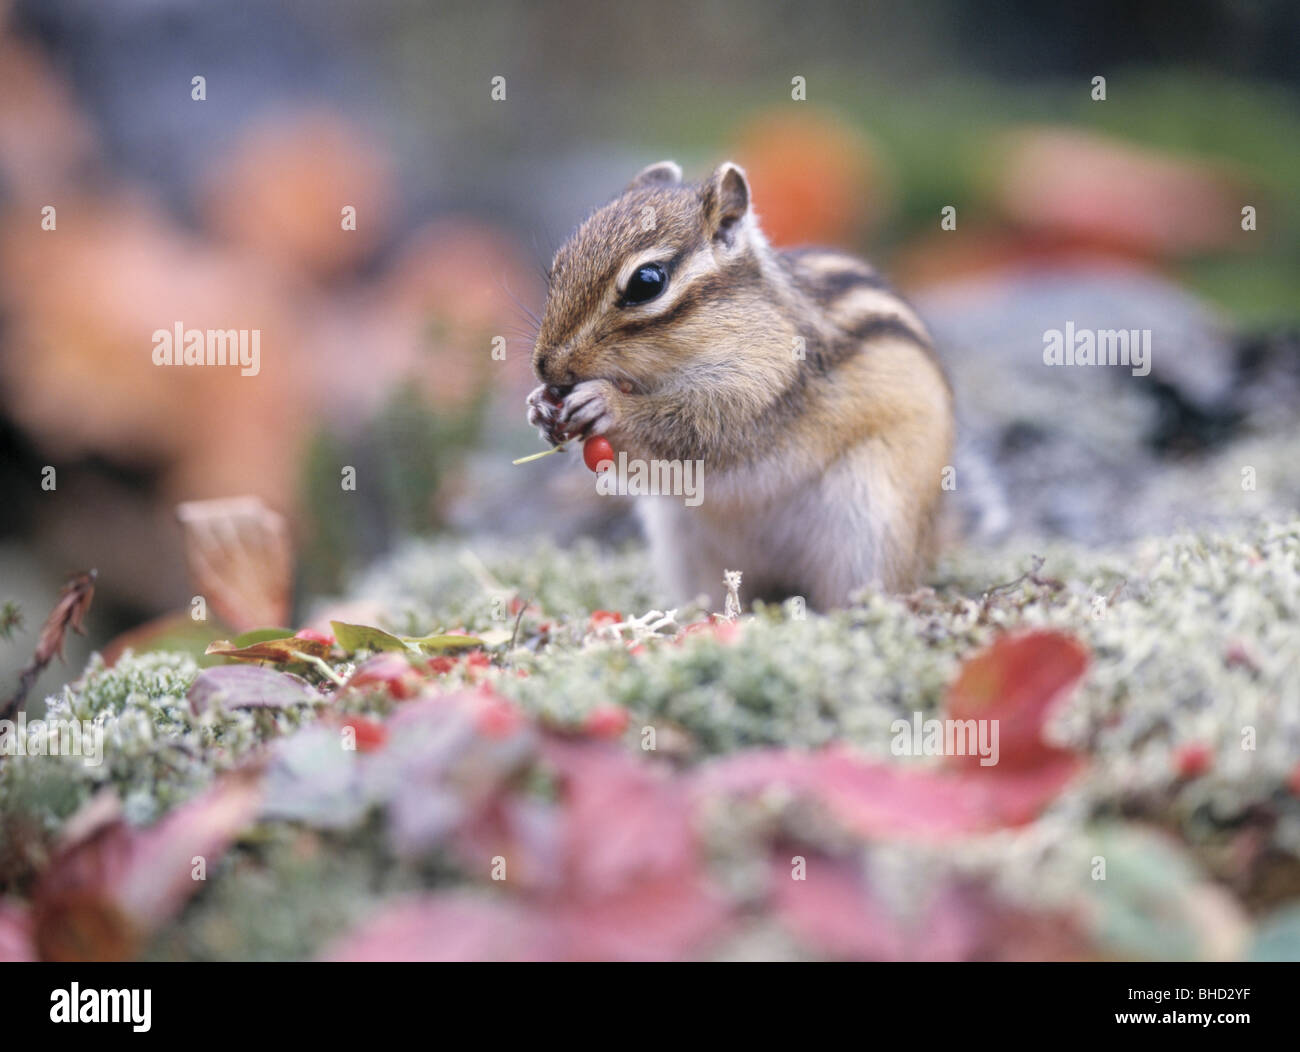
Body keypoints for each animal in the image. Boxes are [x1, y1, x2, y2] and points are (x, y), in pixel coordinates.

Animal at [526, 160, 954, 610]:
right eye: (558, 266)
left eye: (647, 282)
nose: (545, 368)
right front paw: (538, 407)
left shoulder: (767, 390)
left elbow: (702, 433)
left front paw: (607, 404)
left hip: (870, 529)